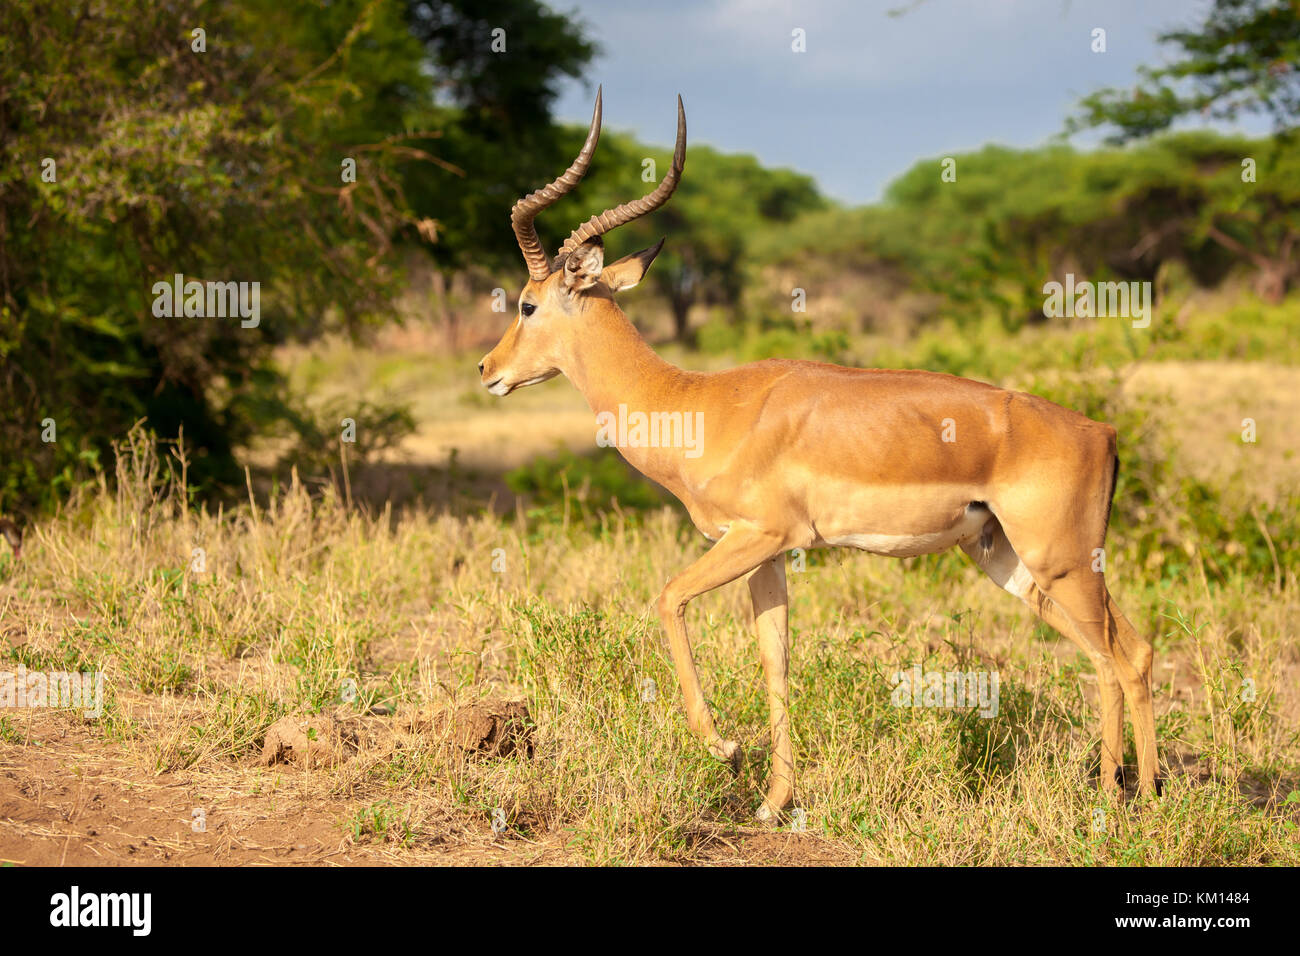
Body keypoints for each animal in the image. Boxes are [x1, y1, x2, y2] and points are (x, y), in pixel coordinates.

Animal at [478, 89, 1159, 820]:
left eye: (527, 304)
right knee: (1129, 651)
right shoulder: (769, 555)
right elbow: (776, 662)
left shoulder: (754, 535)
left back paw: (1118, 801)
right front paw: (774, 802)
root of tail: (1101, 432)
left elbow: (668, 599)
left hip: (1062, 563)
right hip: (1013, 562)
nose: (487, 369)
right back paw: (1144, 790)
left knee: (1118, 657)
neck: (694, 402)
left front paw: (725, 750)